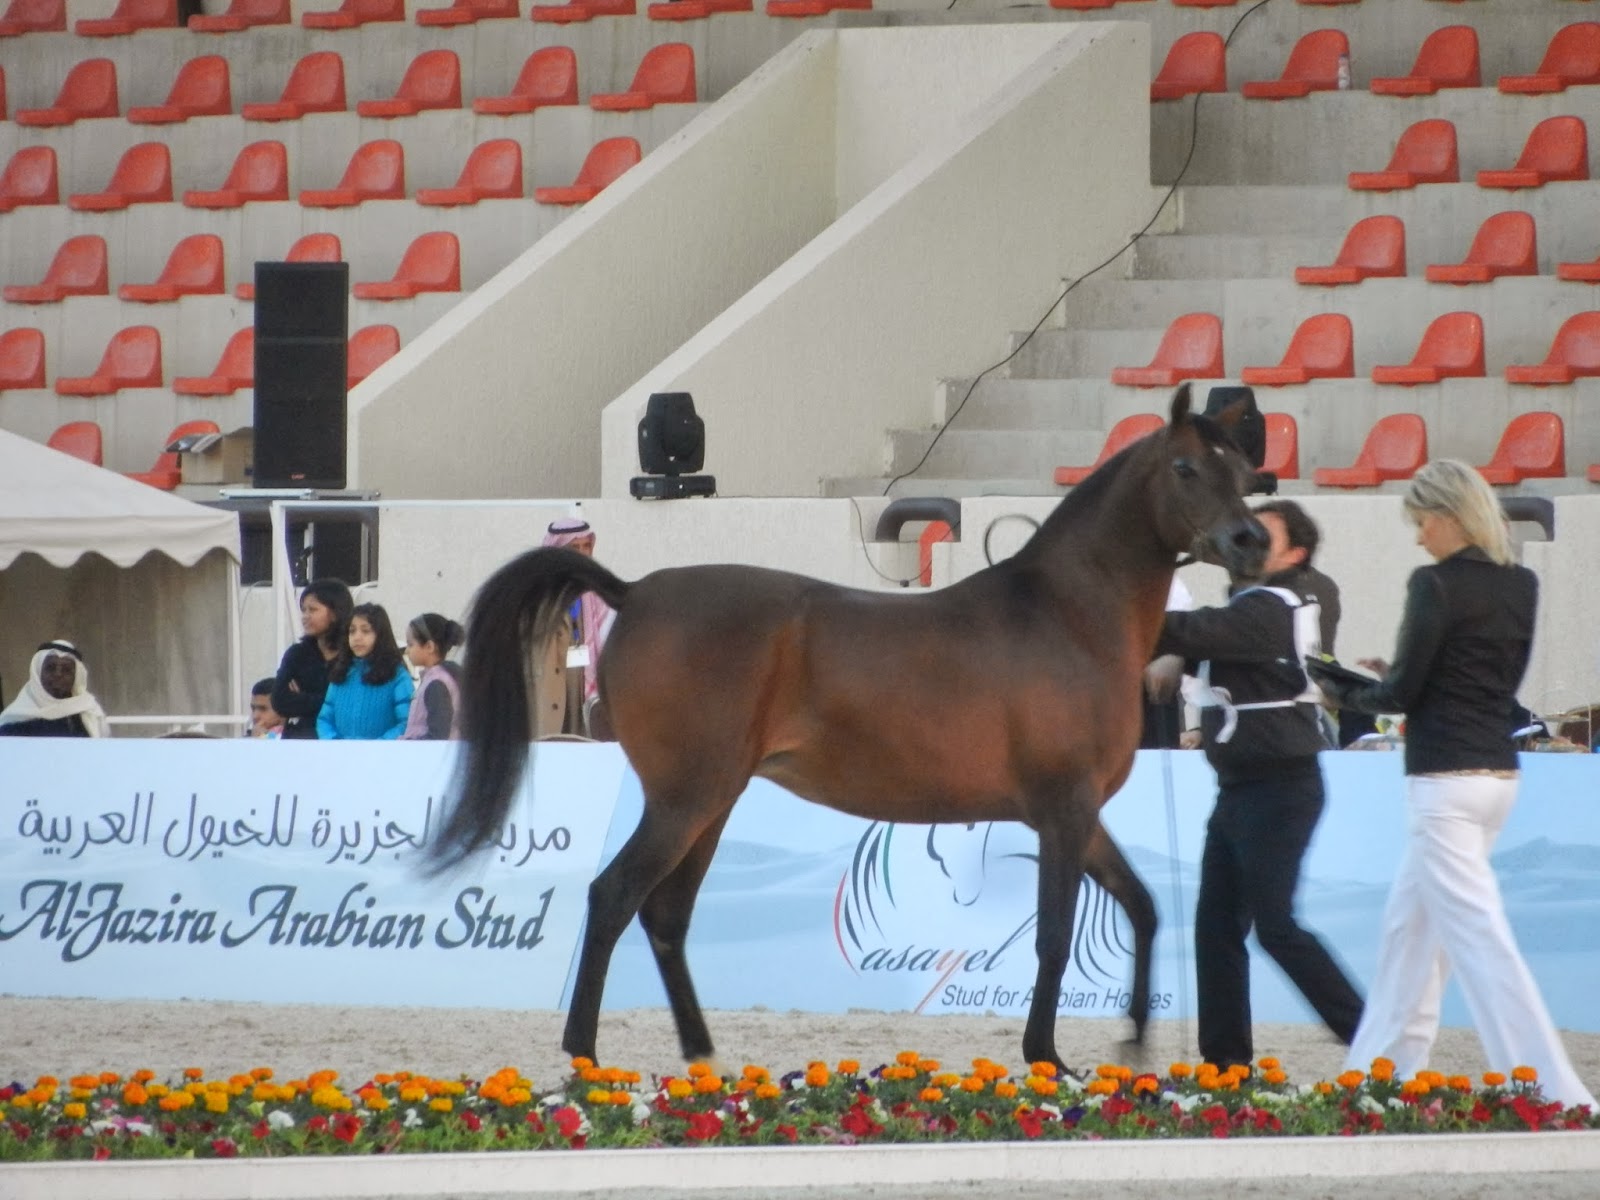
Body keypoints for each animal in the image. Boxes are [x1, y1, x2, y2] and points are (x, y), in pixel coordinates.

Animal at [432, 383, 1267, 1072]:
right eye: (1187, 468)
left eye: (1243, 468)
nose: (1251, 544)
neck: (1065, 615)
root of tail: (633, 592)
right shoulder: (1062, 810)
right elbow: (1055, 937)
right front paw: (1047, 1058)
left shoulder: (1079, 813)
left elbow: (1143, 908)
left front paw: (1133, 1046)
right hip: (686, 800)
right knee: (614, 898)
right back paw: (584, 1056)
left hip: (711, 802)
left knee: (665, 916)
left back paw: (704, 1056)